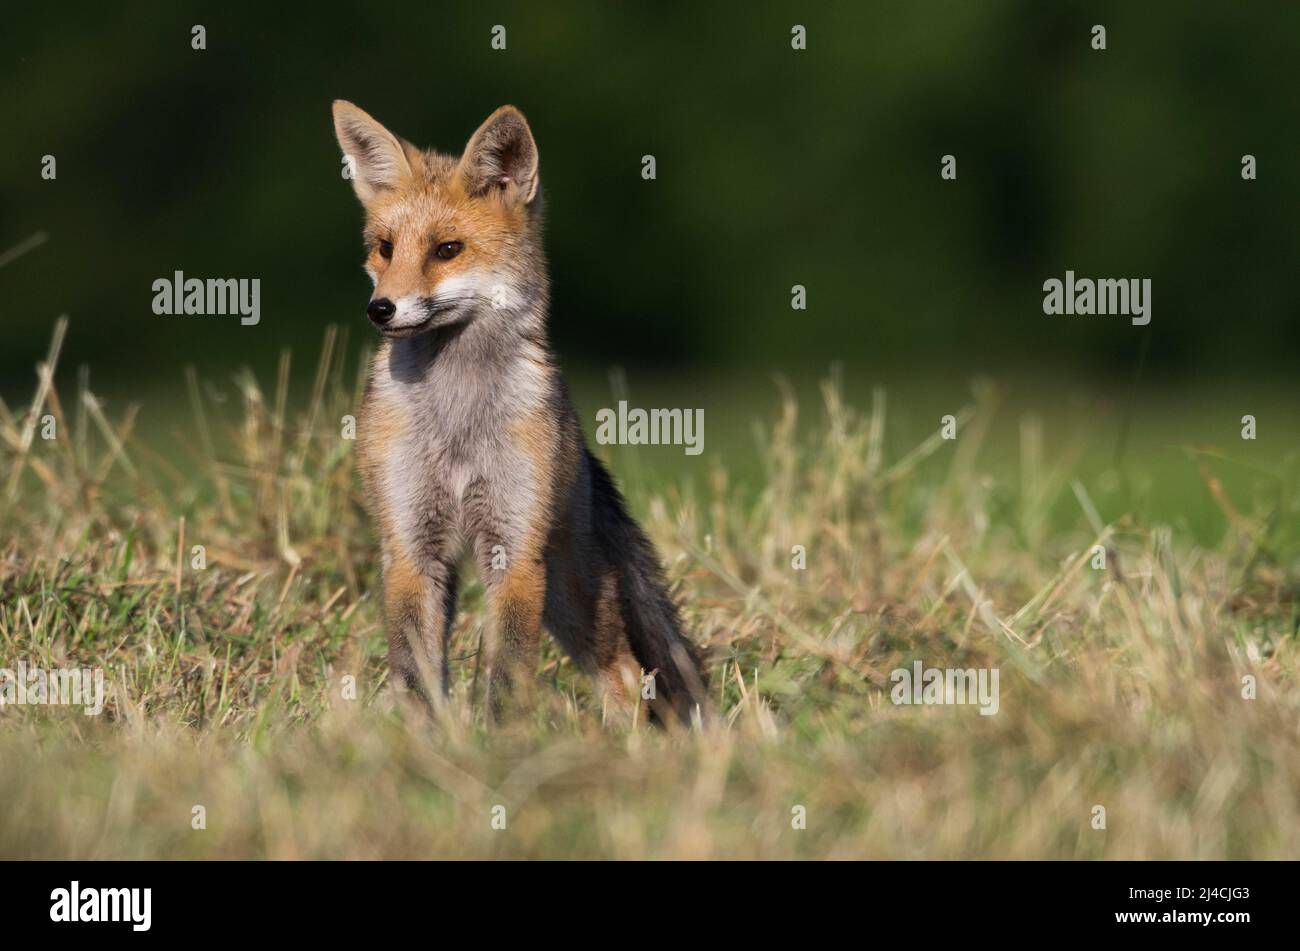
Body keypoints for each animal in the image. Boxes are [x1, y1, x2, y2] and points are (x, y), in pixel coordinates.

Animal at [332, 101, 708, 725]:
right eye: (384, 247)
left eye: (447, 249)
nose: (379, 309)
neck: (458, 414)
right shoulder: (411, 547)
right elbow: (415, 673)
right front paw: (419, 741)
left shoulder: (514, 549)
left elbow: (507, 679)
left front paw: (502, 743)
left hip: (569, 590)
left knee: (625, 674)